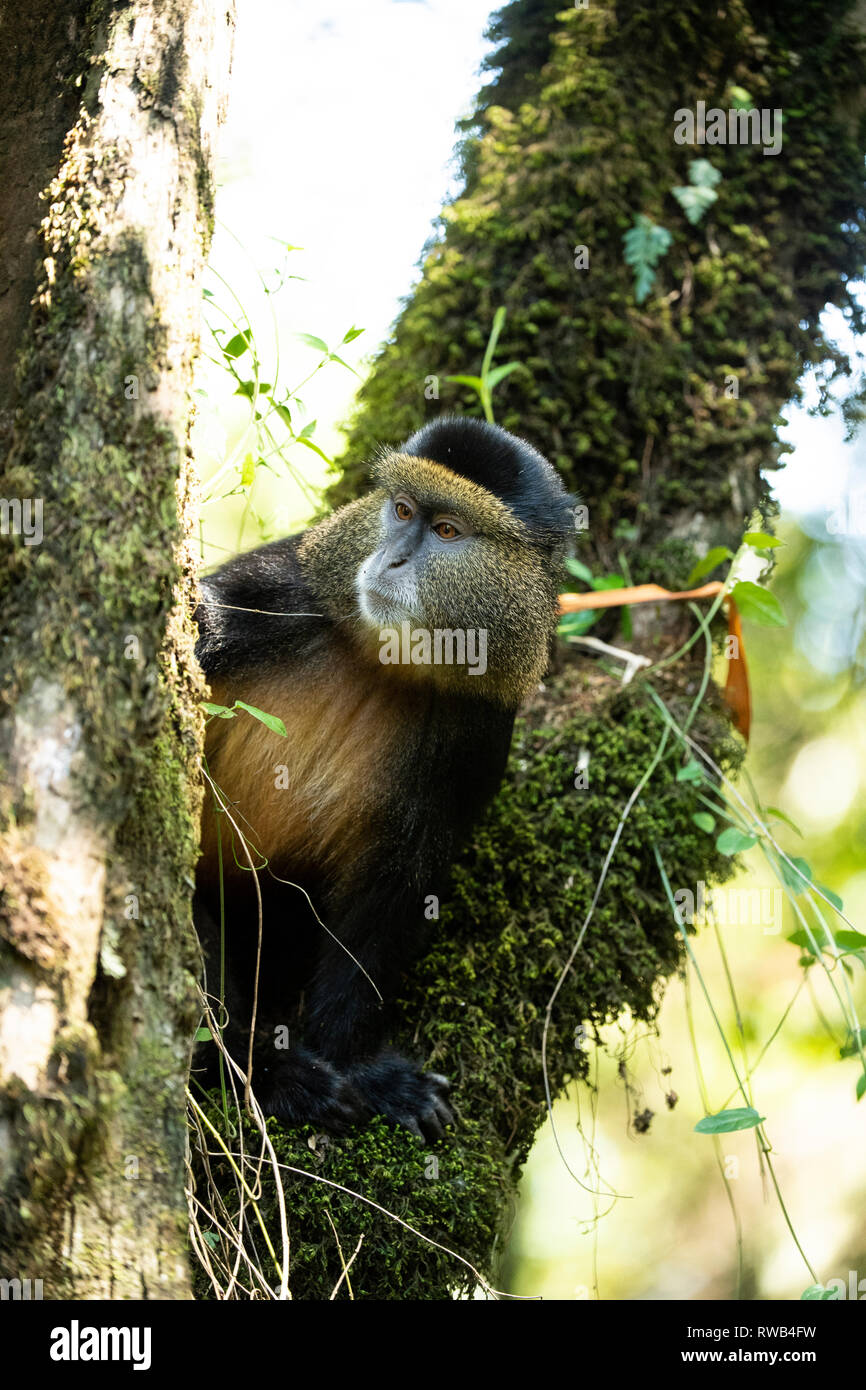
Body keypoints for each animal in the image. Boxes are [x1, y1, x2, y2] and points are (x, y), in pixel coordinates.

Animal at [193, 415, 573, 1140]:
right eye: (401, 511)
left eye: (447, 530)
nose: (392, 559)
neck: (385, 663)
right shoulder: (274, 590)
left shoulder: (481, 729)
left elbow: (398, 885)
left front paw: (362, 1070)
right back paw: (258, 1072)